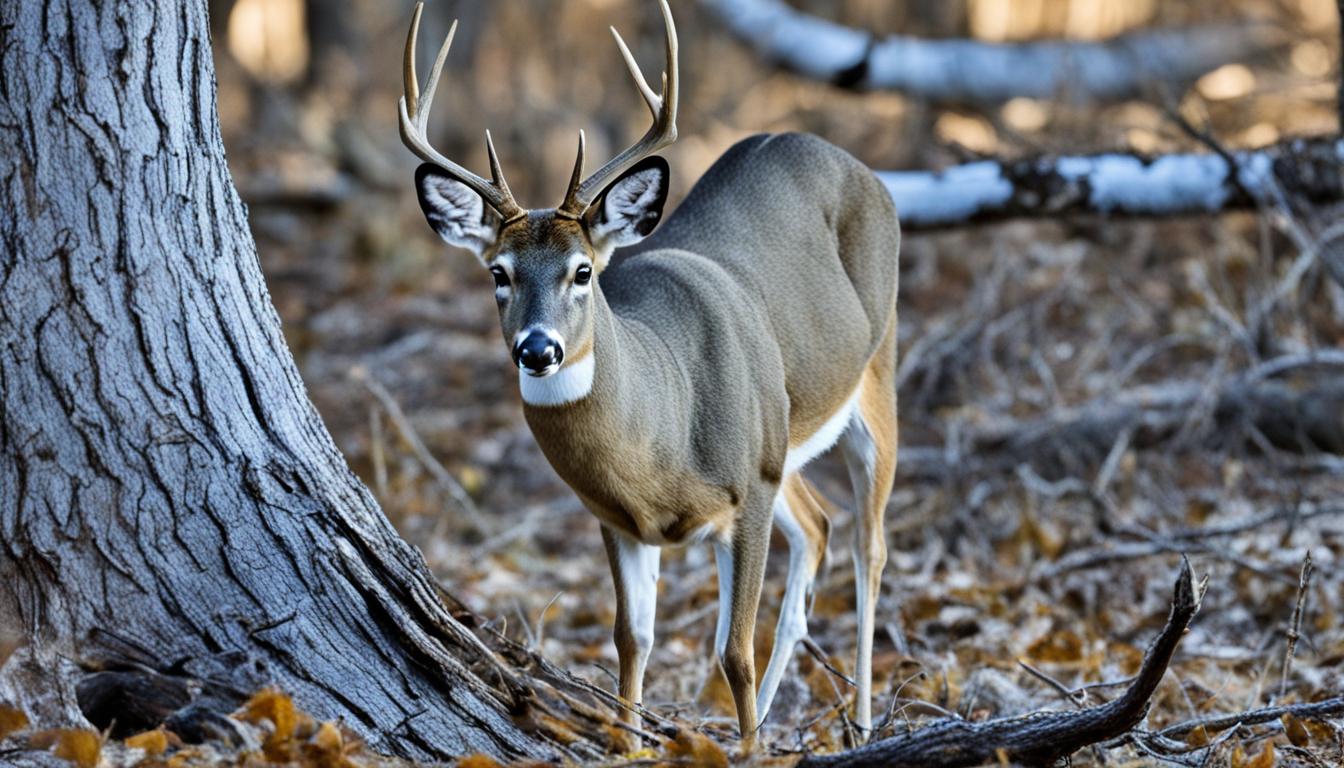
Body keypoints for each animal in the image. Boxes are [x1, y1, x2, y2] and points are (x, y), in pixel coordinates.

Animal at [399, 0, 900, 750]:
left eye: (581, 271)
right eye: (498, 273)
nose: (538, 349)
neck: (667, 430)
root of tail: (845, 157)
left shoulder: (747, 488)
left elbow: (733, 651)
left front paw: (749, 754)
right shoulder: (620, 519)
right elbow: (631, 640)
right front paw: (631, 745)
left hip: (874, 368)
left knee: (872, 544)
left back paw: (862, 721)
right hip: (780, 438)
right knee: (818, 525)